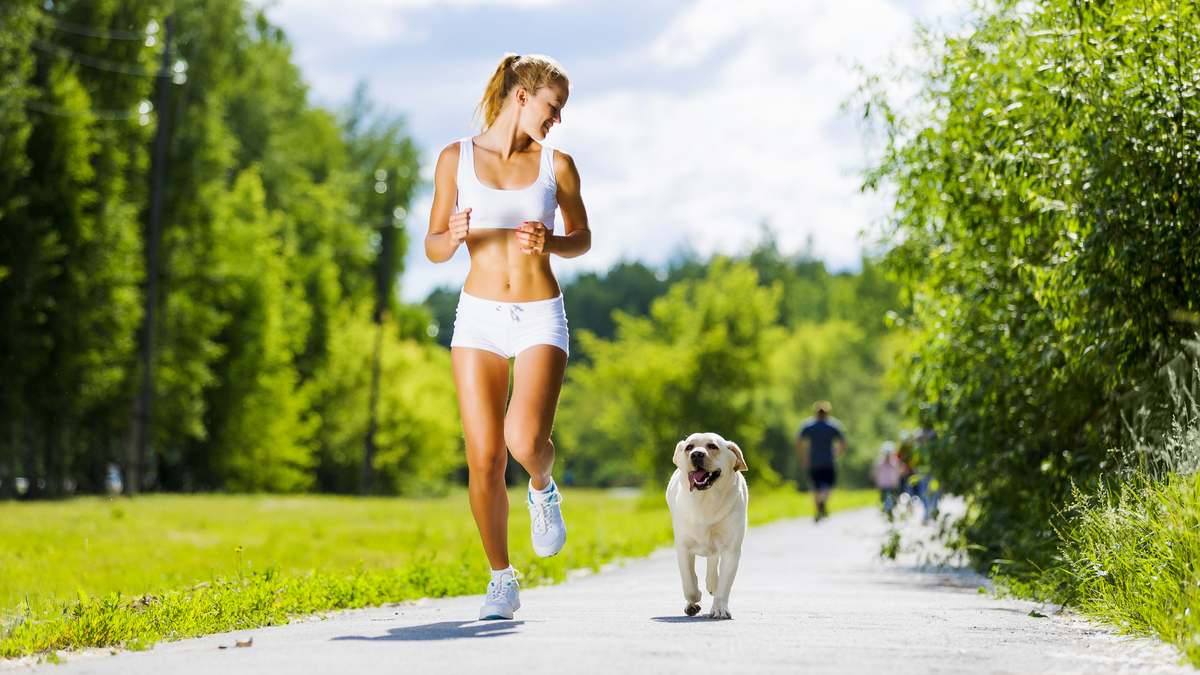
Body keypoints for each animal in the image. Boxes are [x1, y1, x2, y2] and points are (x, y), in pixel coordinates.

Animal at [672, 429, 744, 614]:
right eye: (689, 447)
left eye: (712, 446)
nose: (697, 454)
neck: (705, 500)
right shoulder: (683, 546)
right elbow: (689, 584)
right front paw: (694, 600)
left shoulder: (731, 548)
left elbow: (724, 585)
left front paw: (719, 609)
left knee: (713, 560)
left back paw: (712, 584)